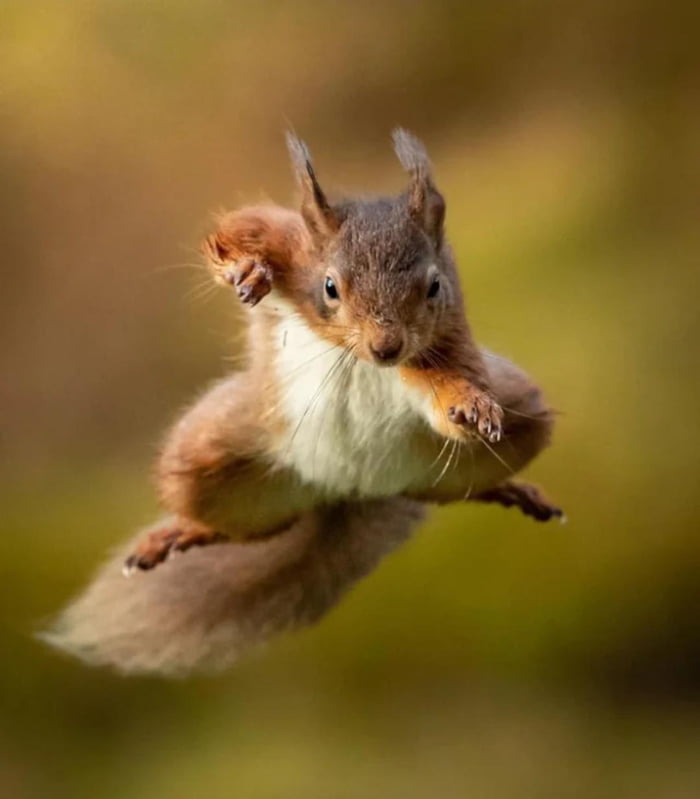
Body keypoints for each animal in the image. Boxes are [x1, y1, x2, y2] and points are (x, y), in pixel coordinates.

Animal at [43, 130, 561, 675]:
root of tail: (351, 490)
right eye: (330, 286)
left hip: (519, 422)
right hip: (205, 461)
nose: (386, 348)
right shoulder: (287, 239)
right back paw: (181, 533)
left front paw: (472, 405)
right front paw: (247, 269)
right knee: (233, 525)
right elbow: (237, 230)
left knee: (443, 489)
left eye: (435, 287)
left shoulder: (448, 344)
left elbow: (452, 389)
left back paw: (505, 489)